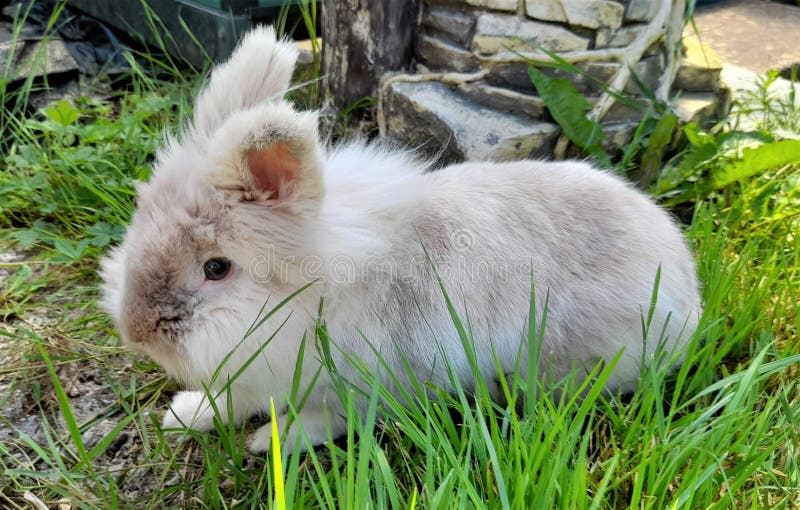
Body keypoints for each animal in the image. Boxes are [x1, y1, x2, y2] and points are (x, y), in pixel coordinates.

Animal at [99, 26, 702, 453]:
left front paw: (272, 442)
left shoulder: (368, 384)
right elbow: (226, 398)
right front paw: (184, 416)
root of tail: (688, 288)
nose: (138, 334)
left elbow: (323, 420)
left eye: (217, 268)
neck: (319, 292)